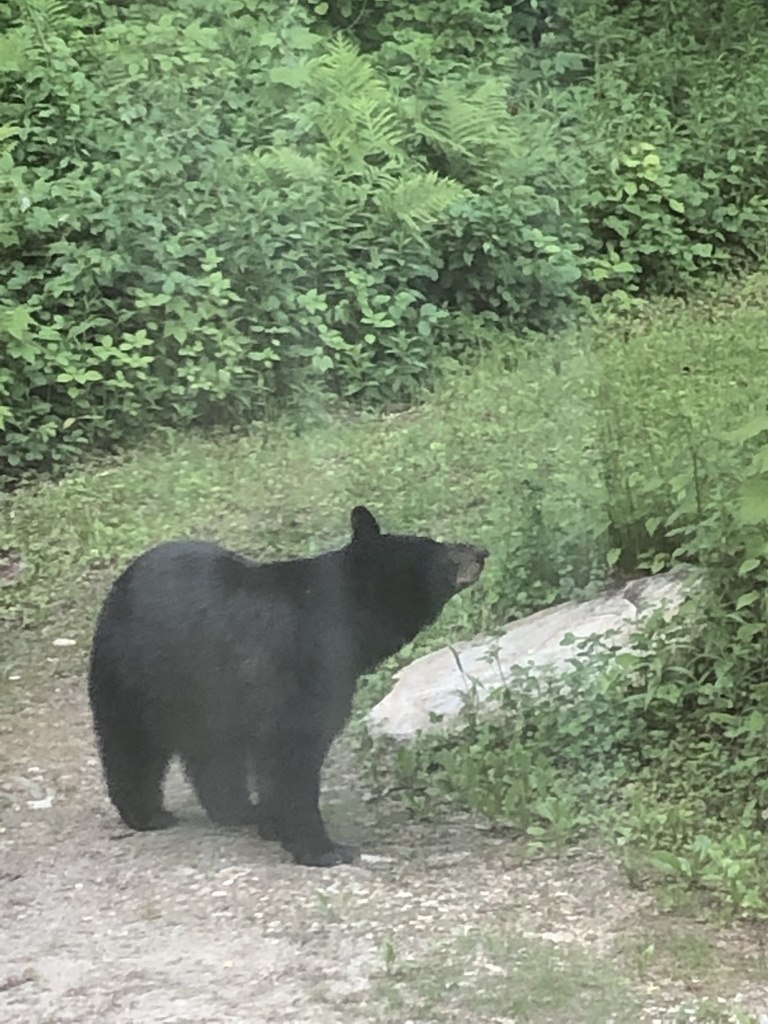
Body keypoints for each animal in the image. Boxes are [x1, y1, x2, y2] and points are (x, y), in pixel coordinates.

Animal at [88, 506, 488, 867]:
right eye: (439, 550)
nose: (481, 551)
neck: (341, 624)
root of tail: (120, 584)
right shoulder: (292, 671)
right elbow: (292, 758)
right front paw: (323, 849)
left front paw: (274, 825)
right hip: (138, 671)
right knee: (132, 744)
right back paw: (147, 814)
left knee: (215, 754)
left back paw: (238, 810)